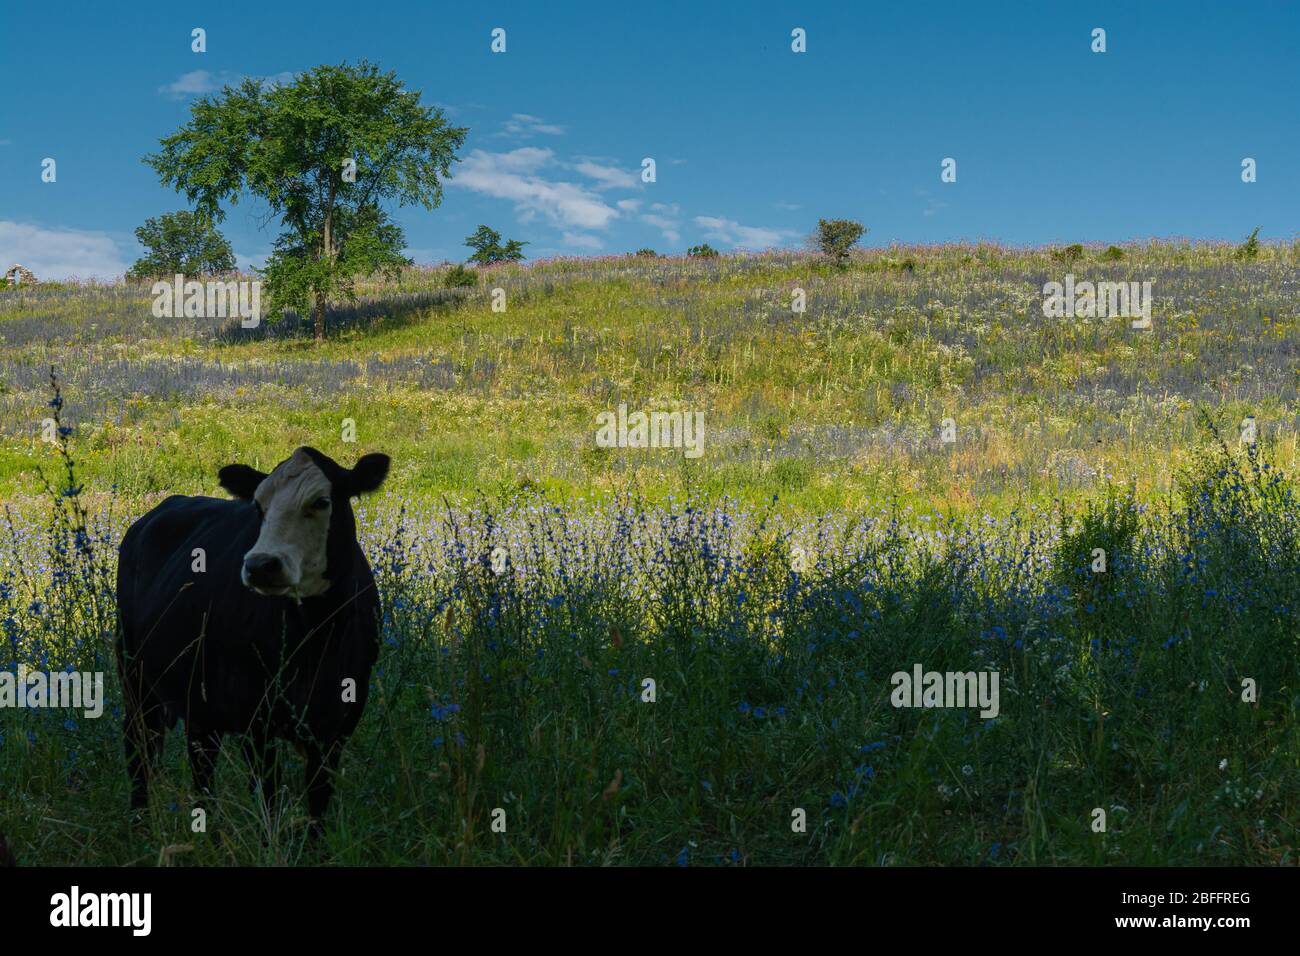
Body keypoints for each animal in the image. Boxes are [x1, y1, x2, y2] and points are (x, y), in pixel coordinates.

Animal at [115, 447, 390, 838]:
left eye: (322, 501)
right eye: (259, 506)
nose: (261, 565)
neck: (318, 635)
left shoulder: (338, 724)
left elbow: (318, 805)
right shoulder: (256, 721)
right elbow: (269, 803)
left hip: (199, 697)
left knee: (201, 763)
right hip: (136, 678)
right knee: (139, 749)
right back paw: (141, 830)